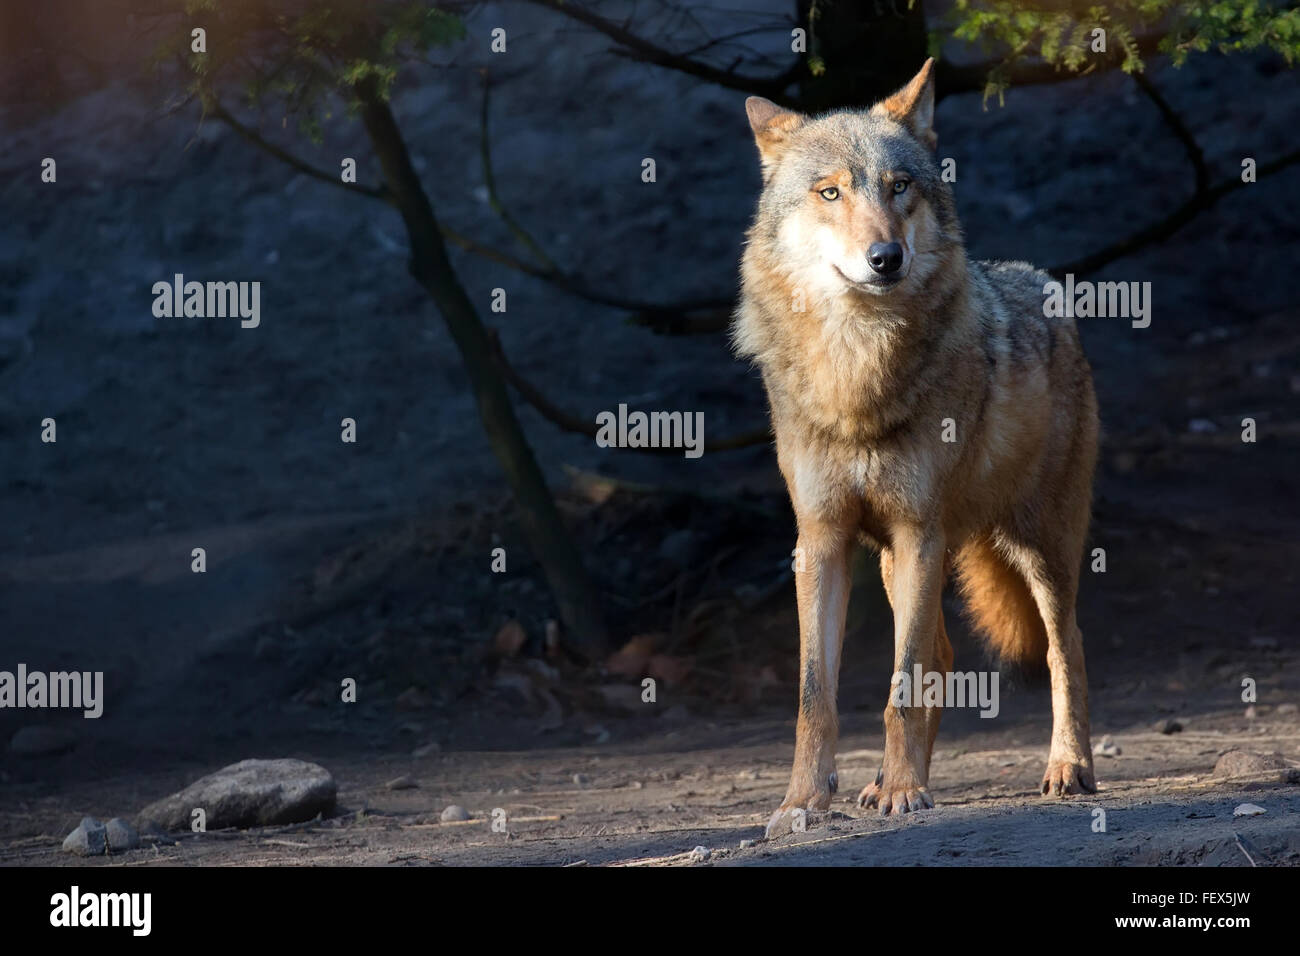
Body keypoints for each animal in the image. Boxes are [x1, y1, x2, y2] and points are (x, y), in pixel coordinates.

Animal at [733, 59, 1100, 838]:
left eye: (899, 186)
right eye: (831, 192)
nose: (885, 257)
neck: (857, 368)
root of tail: (1040, 280)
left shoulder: (917, 529)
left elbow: (901, 685)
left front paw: (904, 791)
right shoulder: (822, 539)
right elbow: (816, 697)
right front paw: (803, 803)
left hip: (1036, 549)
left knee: (1066, 649)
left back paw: (1067, 768)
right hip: (897, 561)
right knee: (943, 652)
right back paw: (888, 785)